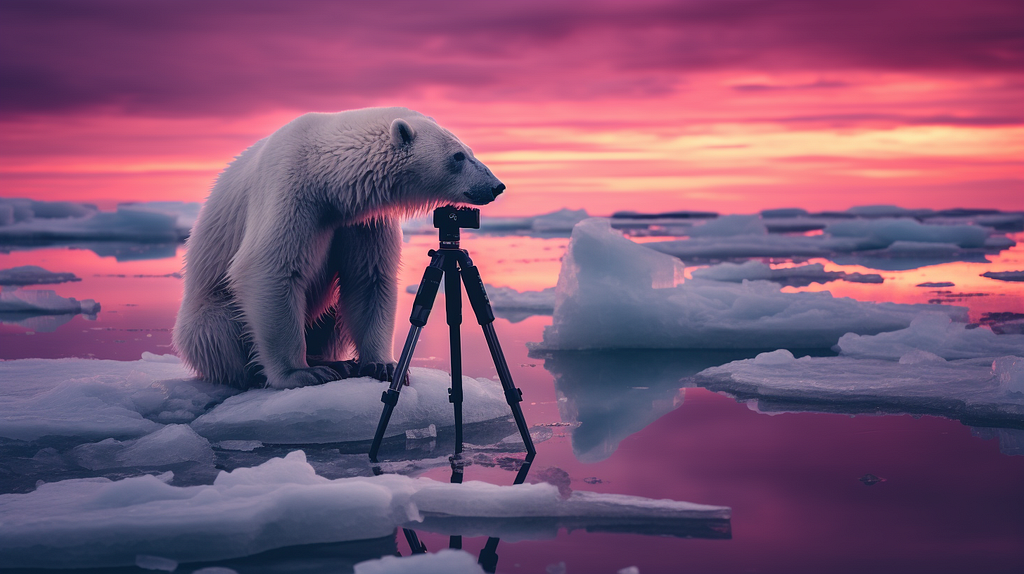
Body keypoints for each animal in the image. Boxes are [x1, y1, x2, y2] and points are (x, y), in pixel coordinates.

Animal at [174, 106, 505, 388]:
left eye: (469, 151)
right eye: (458, 156)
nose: (496, 186)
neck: (324, 175)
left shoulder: (361, 220)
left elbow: (368, 279)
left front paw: (383, 365)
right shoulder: (288, 192)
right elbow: (269, 269)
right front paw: (301, 373)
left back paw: (336, 361)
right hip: (204, 316)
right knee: (219, 327)